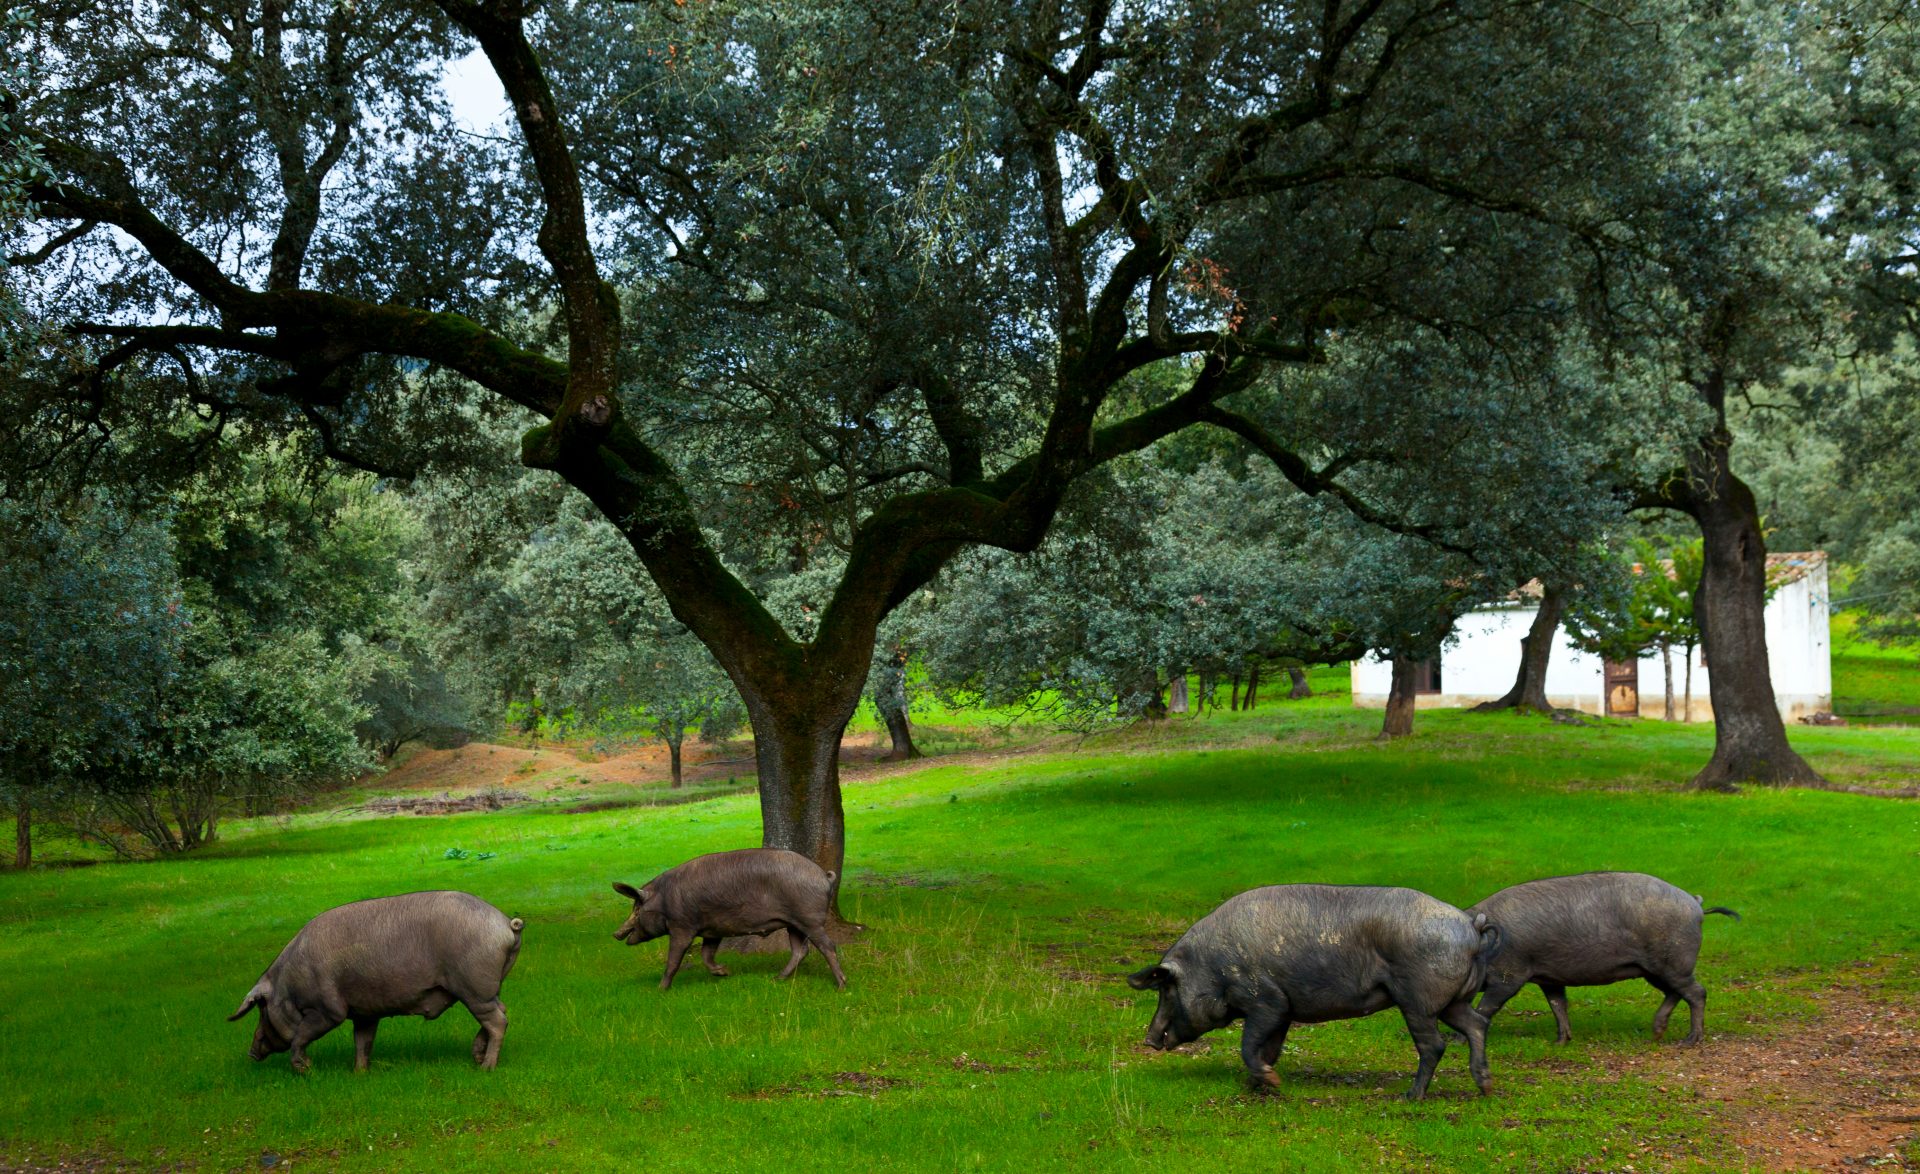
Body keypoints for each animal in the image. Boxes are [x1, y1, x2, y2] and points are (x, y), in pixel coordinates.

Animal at [227, 890, 523, 1073]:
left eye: (261, 1009)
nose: (251, 1053)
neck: (289, 984)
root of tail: (506, 923)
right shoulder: (364, 1012)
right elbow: (362, 1041)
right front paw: (359, 1072)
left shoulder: (329, 1009)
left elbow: (301, 1035)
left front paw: (305, 1069)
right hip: (487, 988)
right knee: (502, 1012)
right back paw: (478, 1057)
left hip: (474, 986)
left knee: (498, 1021)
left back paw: (486, 1067)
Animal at [612, 847, 846, 990]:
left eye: (636, 909)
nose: (615, 933)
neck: (664, 900)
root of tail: (825, 876)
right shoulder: (712, 930)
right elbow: (706, 955)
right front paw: (725, 972)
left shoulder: (682, 926)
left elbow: (674, 960)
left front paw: (661, 989)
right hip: (793, 923)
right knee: (800, 950)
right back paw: (776, 979)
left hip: (809, 919)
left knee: (828, 946)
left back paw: (841, 985)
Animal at [1127, 884, 1500, 1100]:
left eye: (1167, 990)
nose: (1149, 1039)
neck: (1212, 965)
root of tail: (1472, 926)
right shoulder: (1283, 1012)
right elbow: (1269, 1050)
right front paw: (1256, 1086)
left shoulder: (1268, 1002)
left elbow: (1249, 1045)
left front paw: (1271, 1082)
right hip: (1453, 1000)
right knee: (1476, 1024)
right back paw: (1484, 1087)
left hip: (1418, 1001)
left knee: (1434, 1045)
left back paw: (1410, 1096)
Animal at [1468, 870, 1738, 1045]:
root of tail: (1696, 903)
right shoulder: (1548, 977)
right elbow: (1558, 1005)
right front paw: (1559, 1042)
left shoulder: (1509, 975)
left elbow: (1486, 1007)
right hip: (1656, 970)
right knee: (1676, 992)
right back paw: (1657, 1033)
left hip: (1673, 963)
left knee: (1697, 992)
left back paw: (1689, 1041)